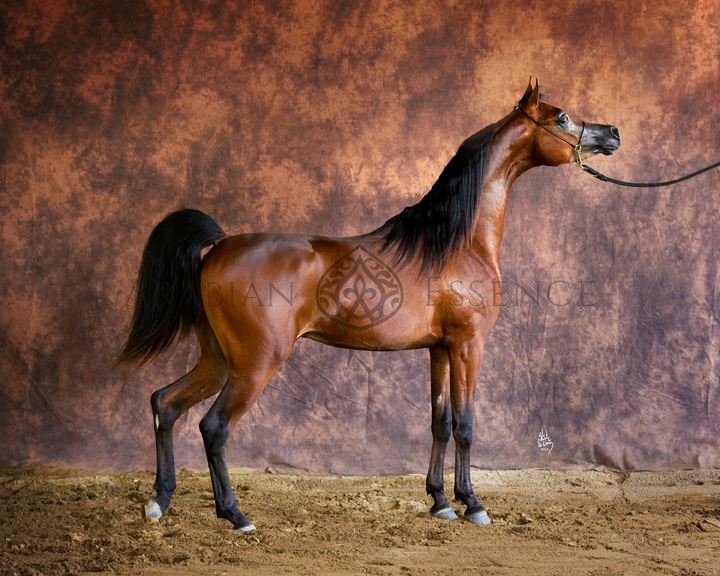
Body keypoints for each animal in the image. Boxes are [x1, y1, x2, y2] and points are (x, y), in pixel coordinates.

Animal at [117, 79, 621, 532]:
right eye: (561, 117)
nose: (613, 133)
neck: (455, 242)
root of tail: (219, 247)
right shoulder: (468, 345)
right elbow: (465, 424)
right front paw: (473, 504)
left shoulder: (439, 349)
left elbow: (439, 422)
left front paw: (440, 501)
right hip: (255, 364)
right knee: (214, 427)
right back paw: (235, 515)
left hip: (219, 358)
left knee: (166, 403)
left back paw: (159, 500)